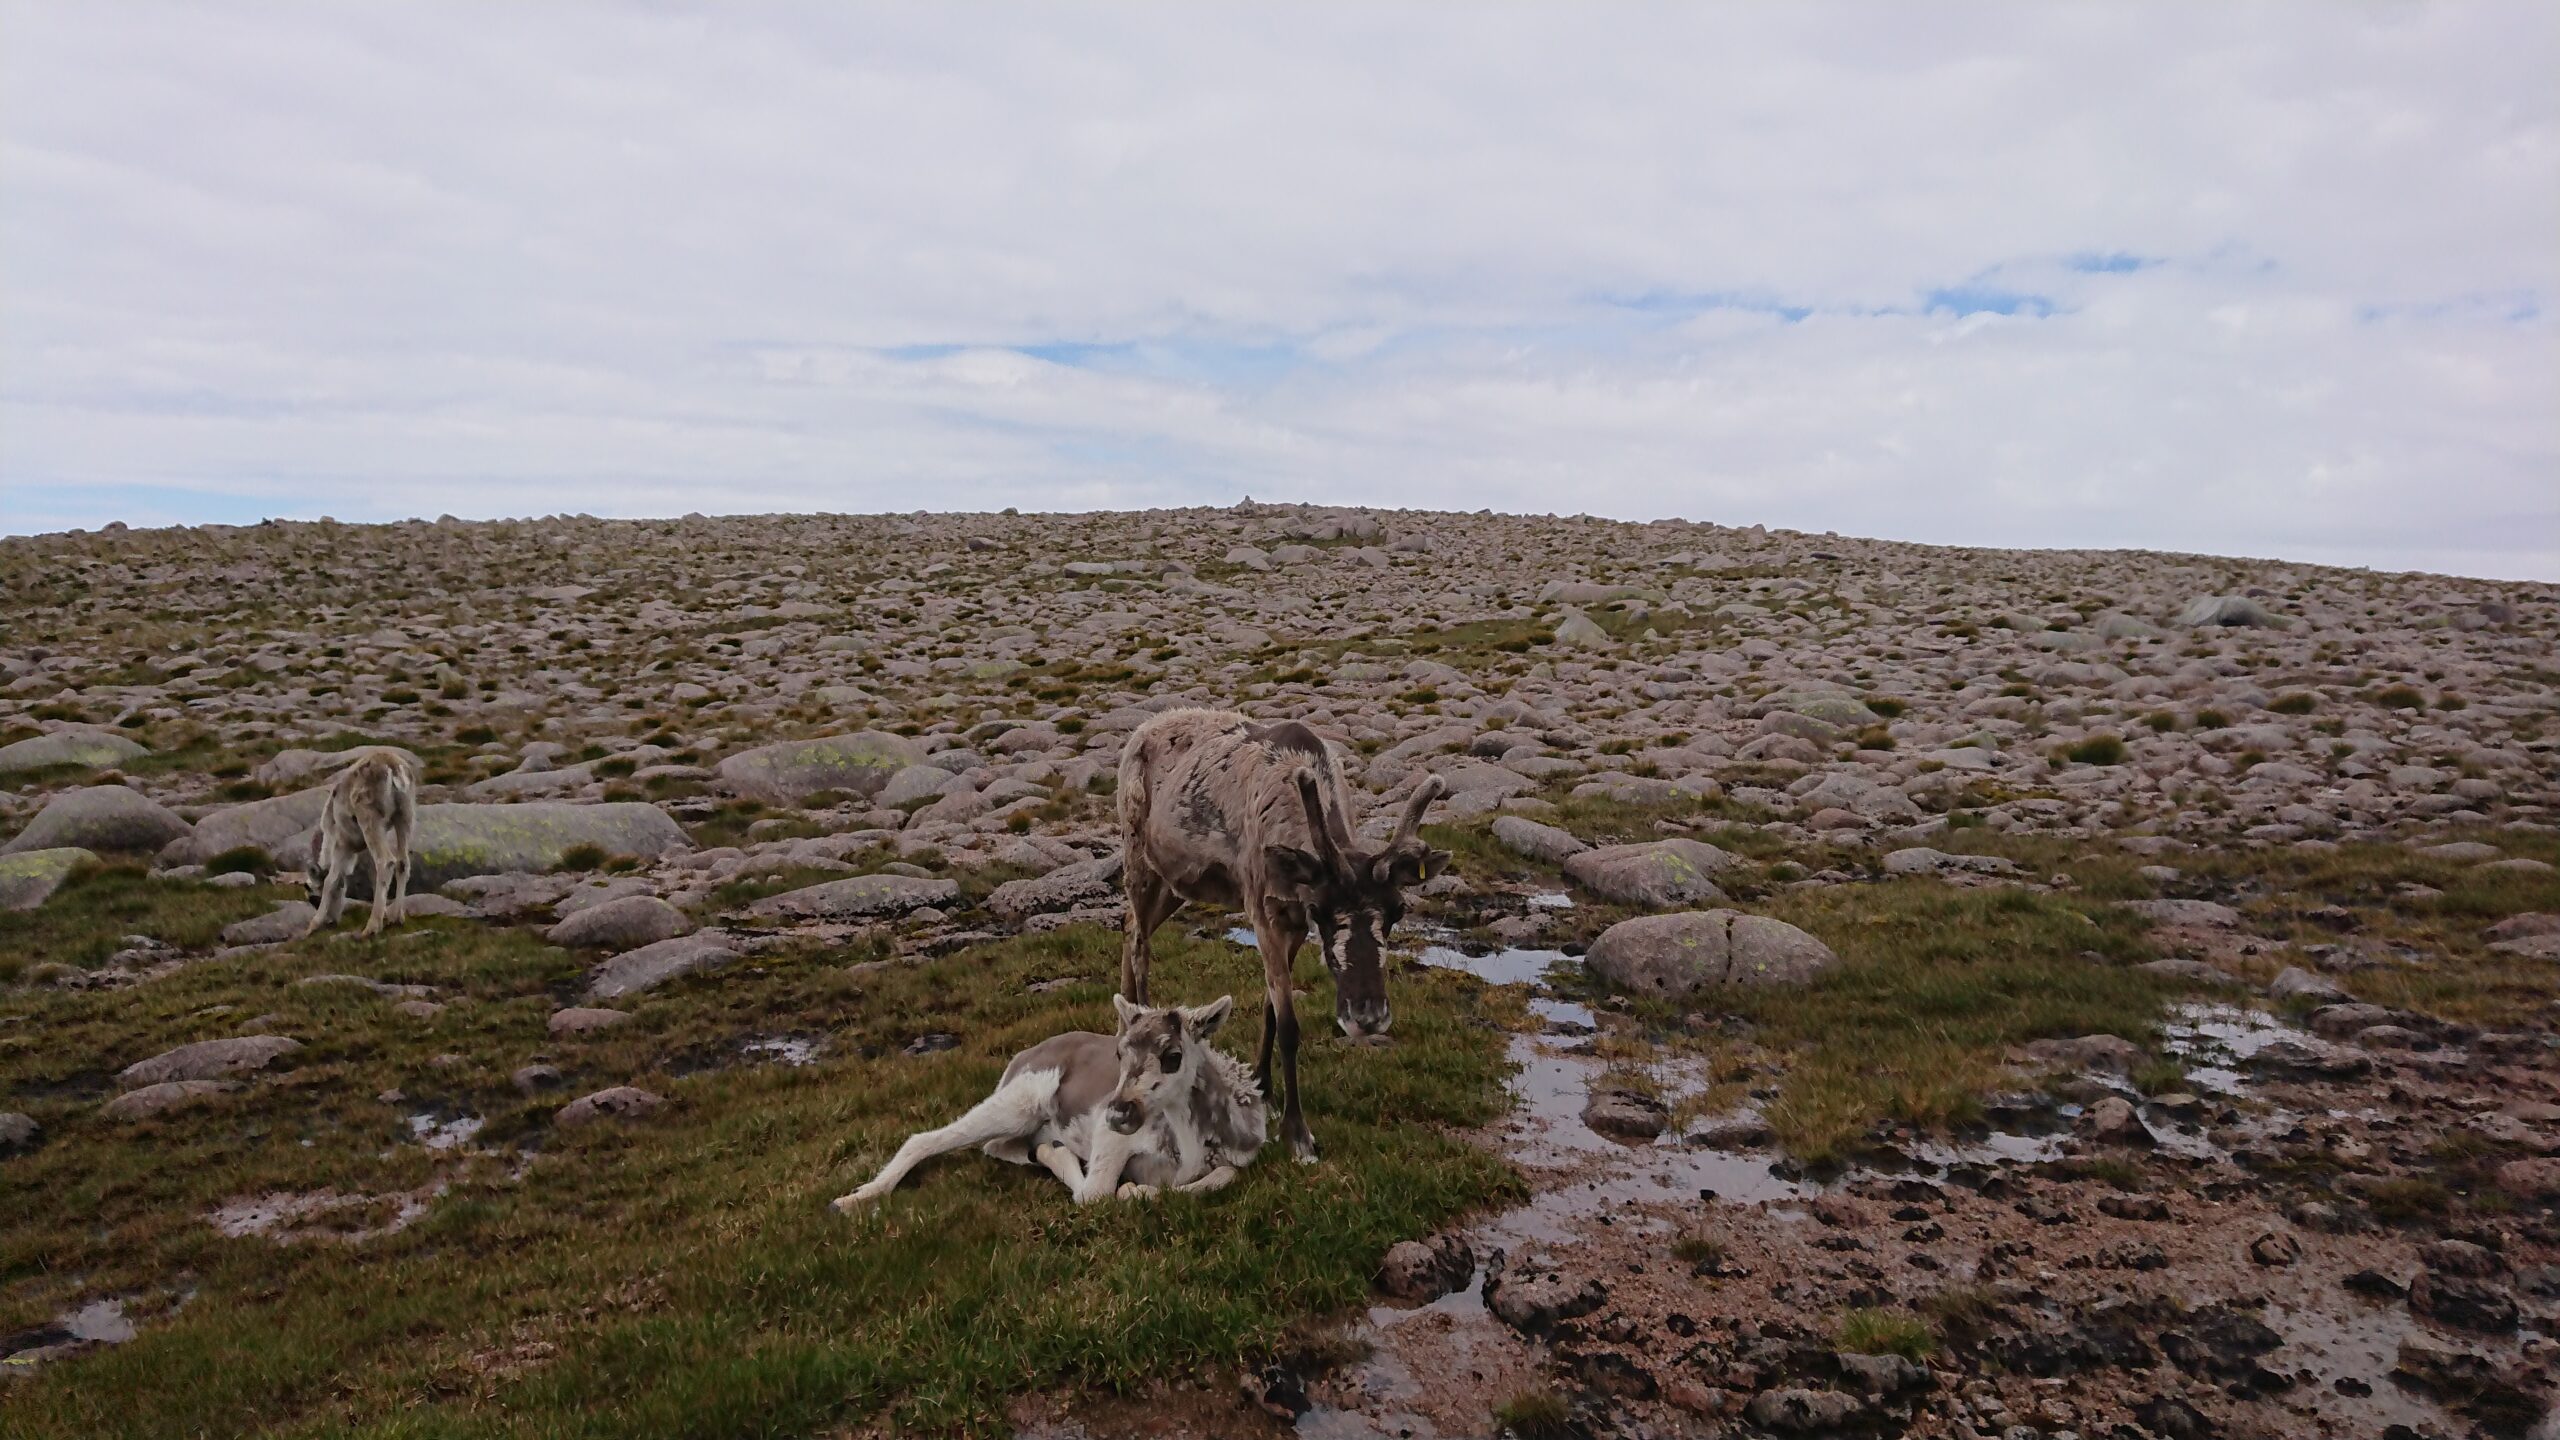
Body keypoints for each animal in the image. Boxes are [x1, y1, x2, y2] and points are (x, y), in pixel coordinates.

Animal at [1116, 708, 1449, 1163]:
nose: (1367, 1016)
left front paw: (1263, 1086)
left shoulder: (1291, 922)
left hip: (1174, 883)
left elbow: (1271, 1009)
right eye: (1321, 910)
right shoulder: (1265, 911)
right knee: (1139, 943)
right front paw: (1298, 1133)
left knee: (1129, 925)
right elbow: (1290, 1024)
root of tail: (1141, 730)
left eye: (1399, 911)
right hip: (1138, 855)